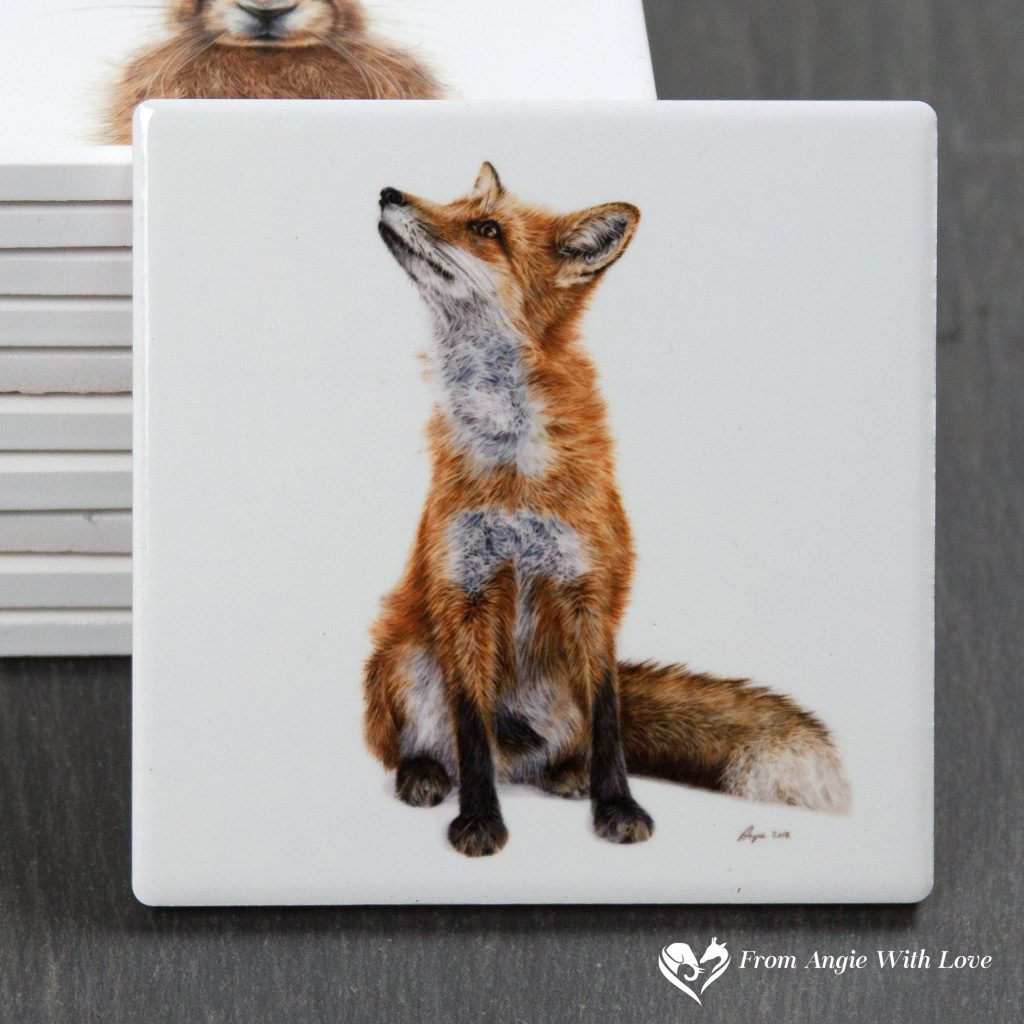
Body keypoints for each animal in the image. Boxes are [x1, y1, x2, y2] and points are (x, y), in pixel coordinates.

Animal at [364, 162, 851, 857]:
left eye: (485, 228)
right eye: (458, 204)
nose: (388, 193)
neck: (513, 465)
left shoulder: (590, 590)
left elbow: (609, 723)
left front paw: (616, 806)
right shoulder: (463, 589)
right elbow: (470, 729)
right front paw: (480, 821)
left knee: (568, 743)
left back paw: (568, 774)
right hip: (401, 659)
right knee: (435, 746)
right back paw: (424, 773)